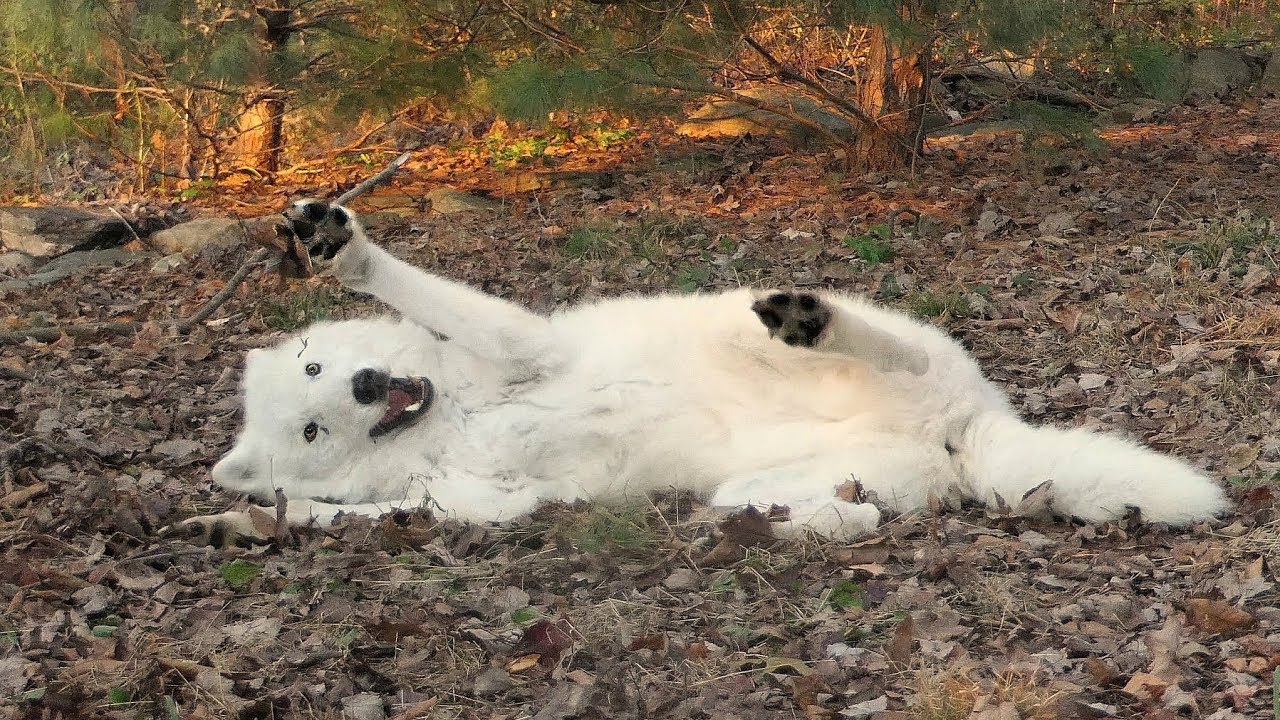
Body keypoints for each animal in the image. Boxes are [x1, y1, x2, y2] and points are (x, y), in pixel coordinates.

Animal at [178, 200, 1230, 543]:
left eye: (320, 364)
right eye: (311, 426)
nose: (361, 388)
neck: (454, 412)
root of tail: (972, 434)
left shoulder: (521, 343)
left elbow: (410, 288)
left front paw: (340, 248)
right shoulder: (480, 505)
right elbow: (338, 515)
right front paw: (237, 522)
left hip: (768, 333)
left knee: (867, 346)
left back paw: (810, 318)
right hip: (791, 478)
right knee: (856, 517)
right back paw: (775, 523)